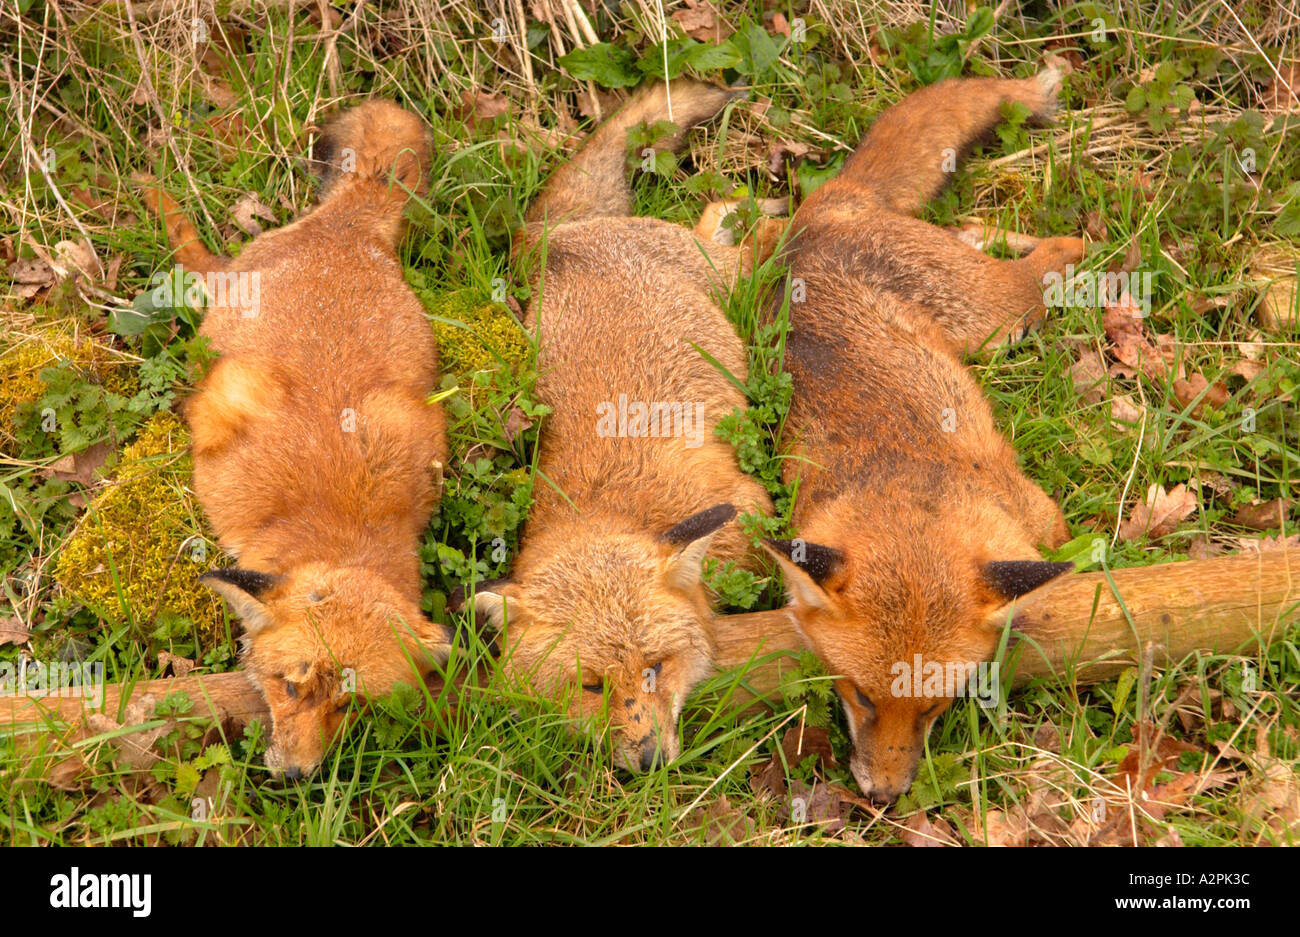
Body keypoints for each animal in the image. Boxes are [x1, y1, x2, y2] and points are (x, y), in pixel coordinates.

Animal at [141, 100, 451, 778]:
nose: (294, 778)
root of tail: (341, 230)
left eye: (349, 706)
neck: (339, 533)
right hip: (227, 359)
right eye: (288, 685)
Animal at [465, 80, 774, 772]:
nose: (651, 761)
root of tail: (558, 238)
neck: (614, 508)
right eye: (590, 687)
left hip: (728, 278)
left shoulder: (749, 506)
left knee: (742, 236)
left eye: (657, 667)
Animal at [761, 68, 1085, 803]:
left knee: (1060, 251)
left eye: (936, 706)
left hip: (994, 314)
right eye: (860, 695)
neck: (908, 475)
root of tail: (827, 207)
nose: (883, 796)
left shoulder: (1041, 522)